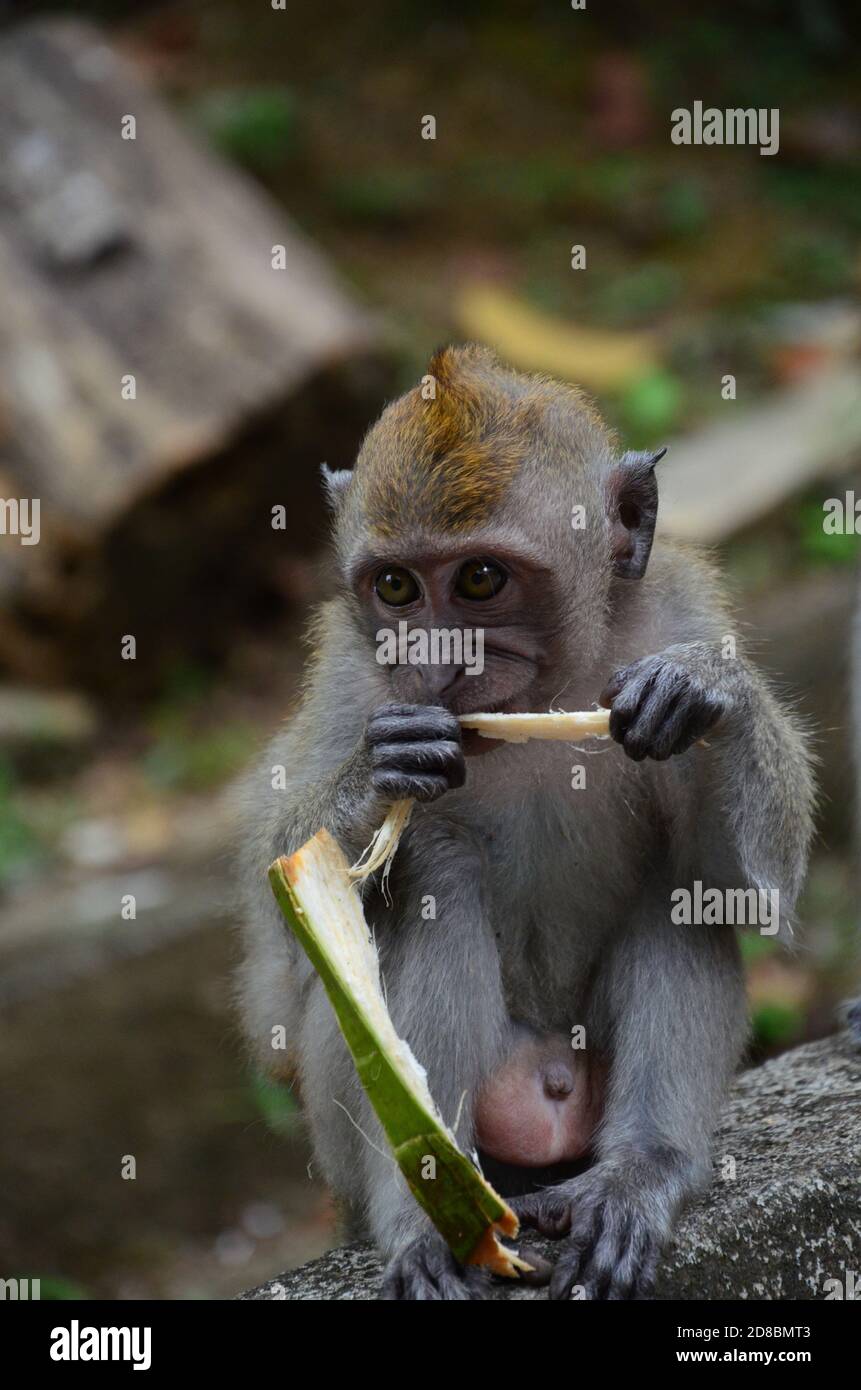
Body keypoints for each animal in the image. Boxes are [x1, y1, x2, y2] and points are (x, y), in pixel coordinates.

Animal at [237, 344, 814, 1300]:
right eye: (395, 586)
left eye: (479, 580)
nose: (435, 665)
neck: (543, 692)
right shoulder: (354, 682)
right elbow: (283, 944)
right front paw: (372, 778)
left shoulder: (676, 611)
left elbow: (736, 890)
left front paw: (705, 690)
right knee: (430, 872)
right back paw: (426, 1220)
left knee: (673, 888)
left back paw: (635, 1176)